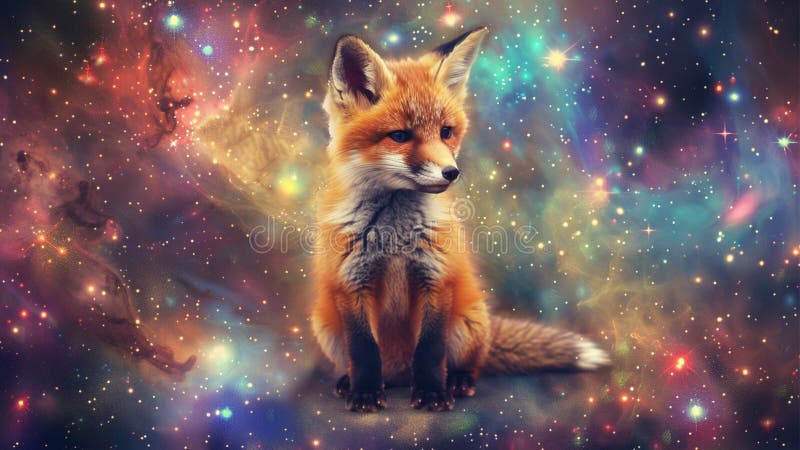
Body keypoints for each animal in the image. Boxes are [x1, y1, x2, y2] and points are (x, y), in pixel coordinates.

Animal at [311, 27, 610, 413]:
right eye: (400, 136)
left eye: (446, 132)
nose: (451, 172)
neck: (394, 236)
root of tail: (398, 374)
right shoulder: (351, 281)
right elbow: (363, 351)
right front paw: (364, 393)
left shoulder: (437, 279)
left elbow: (430, 349)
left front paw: (432, 394)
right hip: (326, 324)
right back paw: (352, 382)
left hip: (468, 322)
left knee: (469, 363)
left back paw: (458, 381)